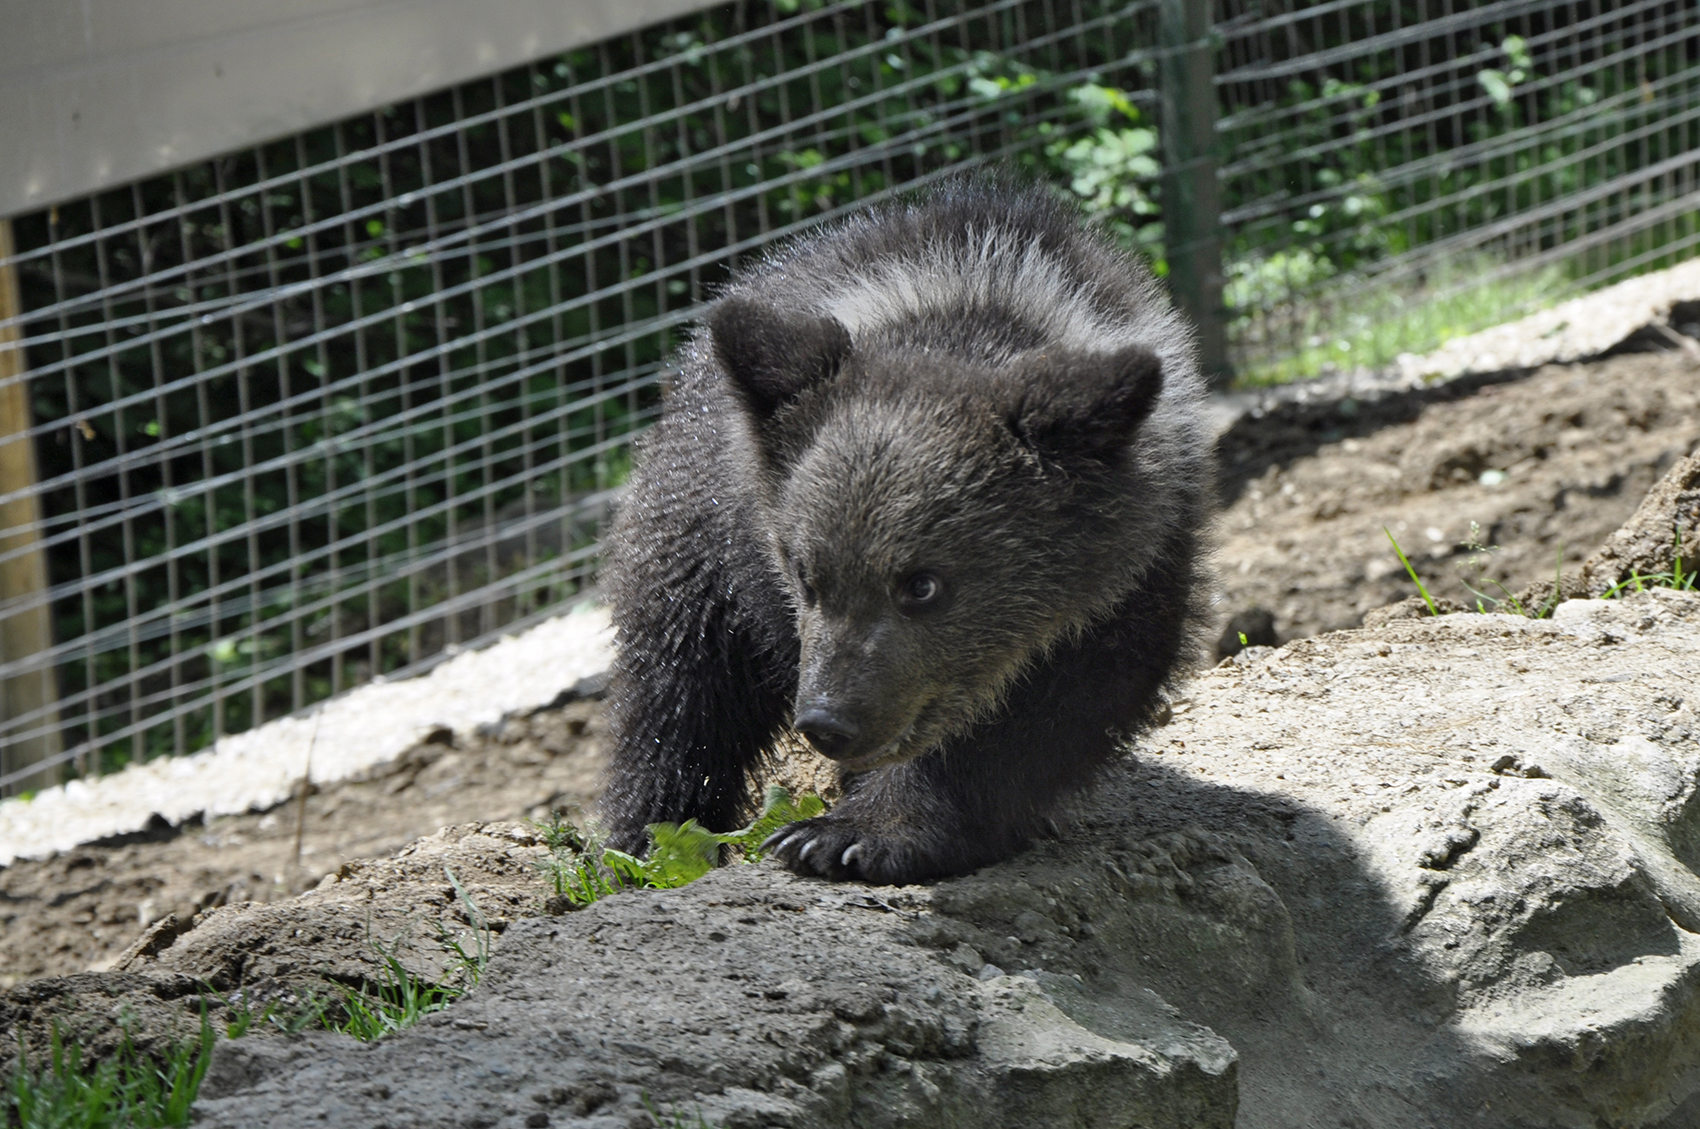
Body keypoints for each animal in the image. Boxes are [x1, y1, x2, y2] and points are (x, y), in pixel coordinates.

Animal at [599, 175, 1212, 885]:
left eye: (923, 584)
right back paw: (649, 840)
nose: (828, 721)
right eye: (806, 575)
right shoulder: (738, 544)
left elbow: (1049, 711)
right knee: (678, 689)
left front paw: (861, 831)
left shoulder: (1133, 576)